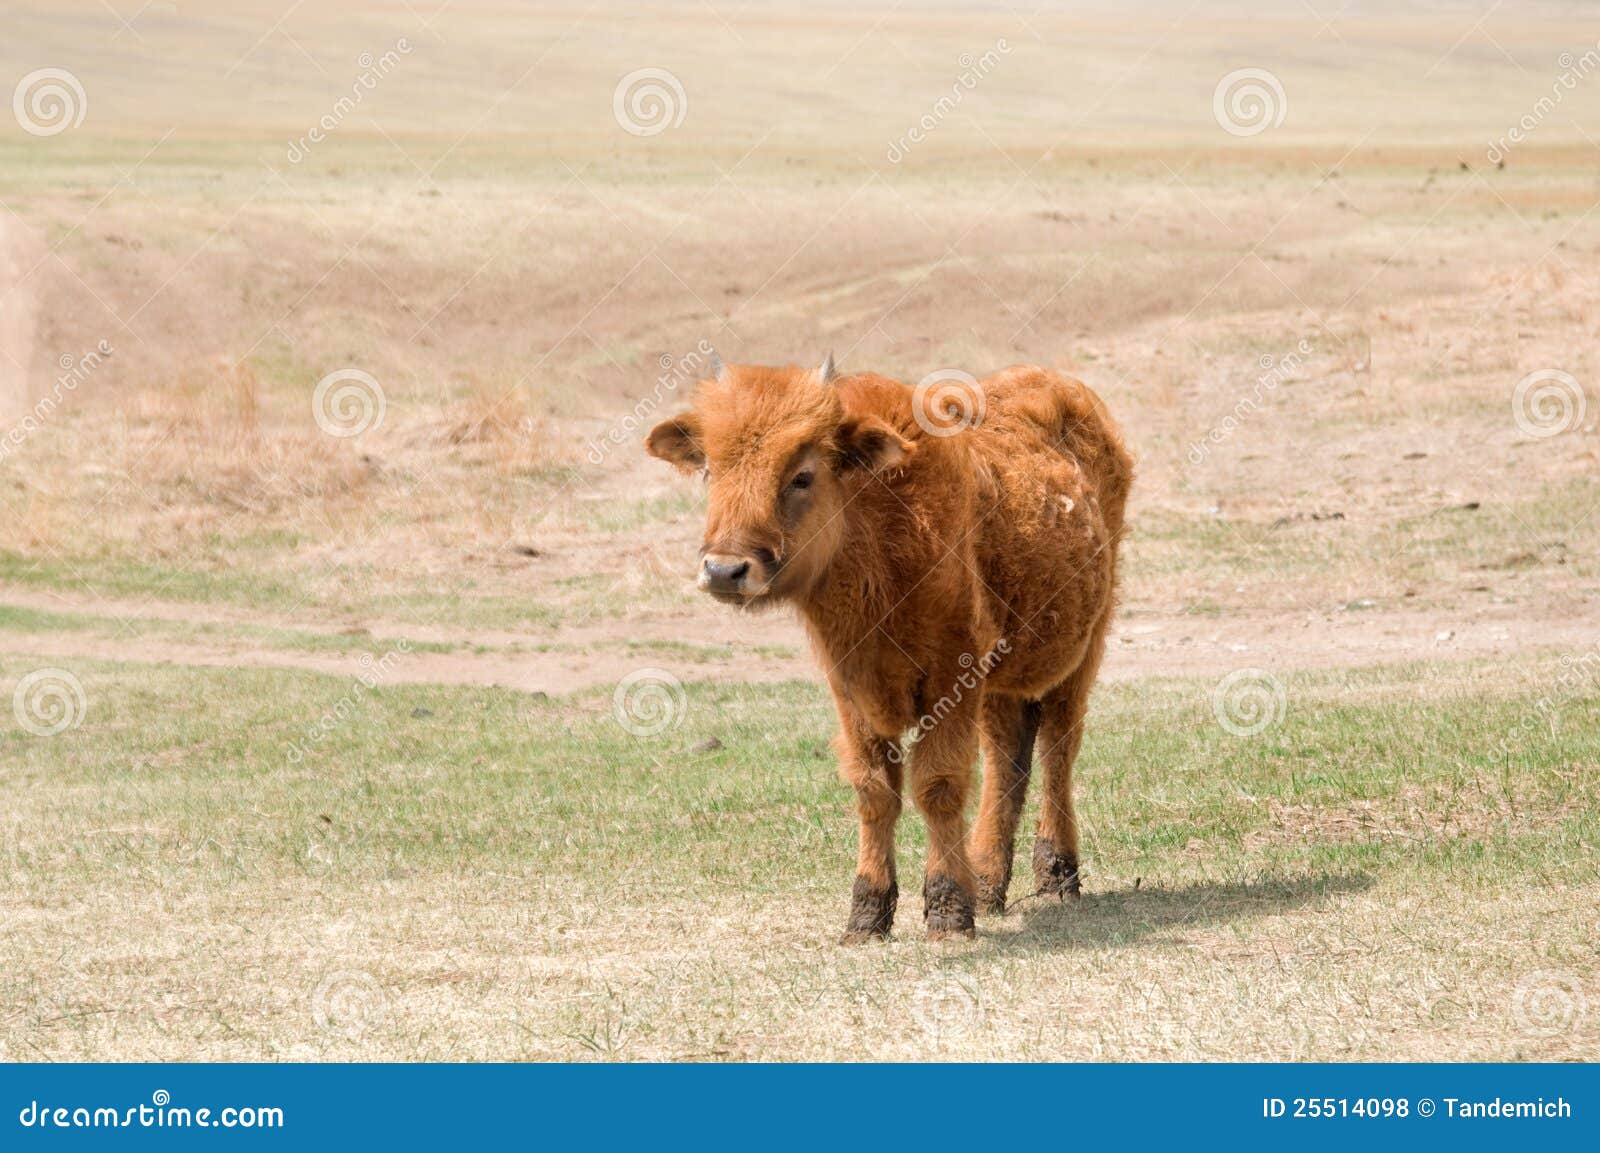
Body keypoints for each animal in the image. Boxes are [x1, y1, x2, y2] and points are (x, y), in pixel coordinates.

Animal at [646, 354, 1132, 940]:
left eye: (802, 475)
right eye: (711, 471)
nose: (724, 570)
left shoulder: (951, 679)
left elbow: (938, 785)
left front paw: (948, 913)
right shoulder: (852, 688)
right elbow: (875, 790)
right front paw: (867, 915)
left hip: (1081, 653)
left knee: (1058, 750)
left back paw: (1057, 877)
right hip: (1003, 684)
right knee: (1006, 762)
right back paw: (988, 880)